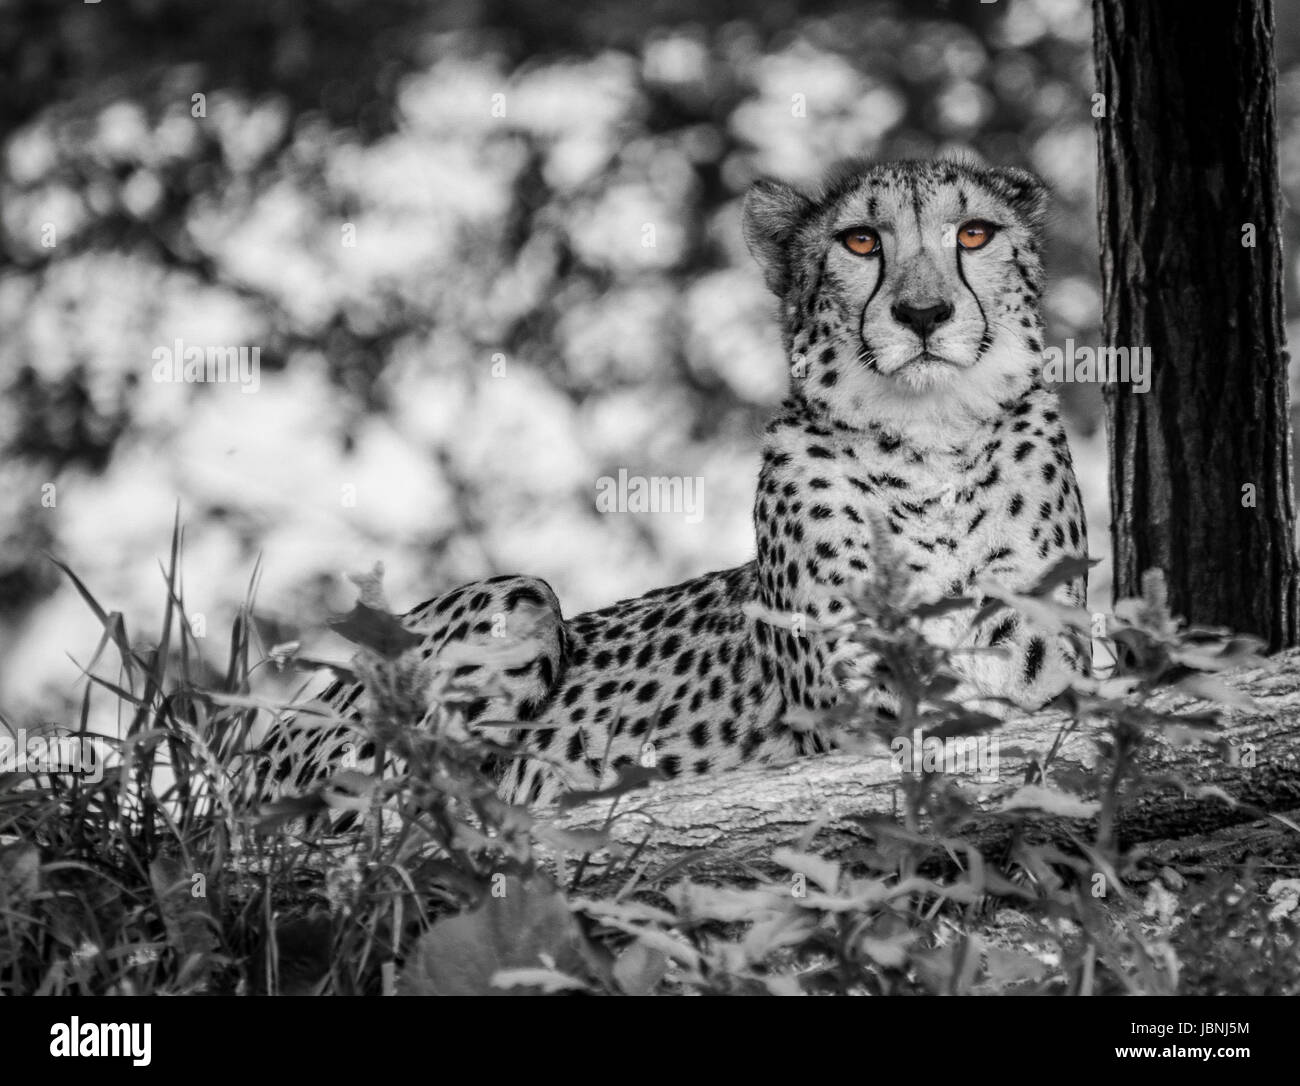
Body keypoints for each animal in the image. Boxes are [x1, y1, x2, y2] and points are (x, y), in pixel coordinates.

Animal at [263, 158, 1088, 811]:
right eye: (861, 240)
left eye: (974, 234)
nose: (923, 313)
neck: (927, 447)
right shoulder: (863, 718)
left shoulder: (1042, 688)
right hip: (514, 600)